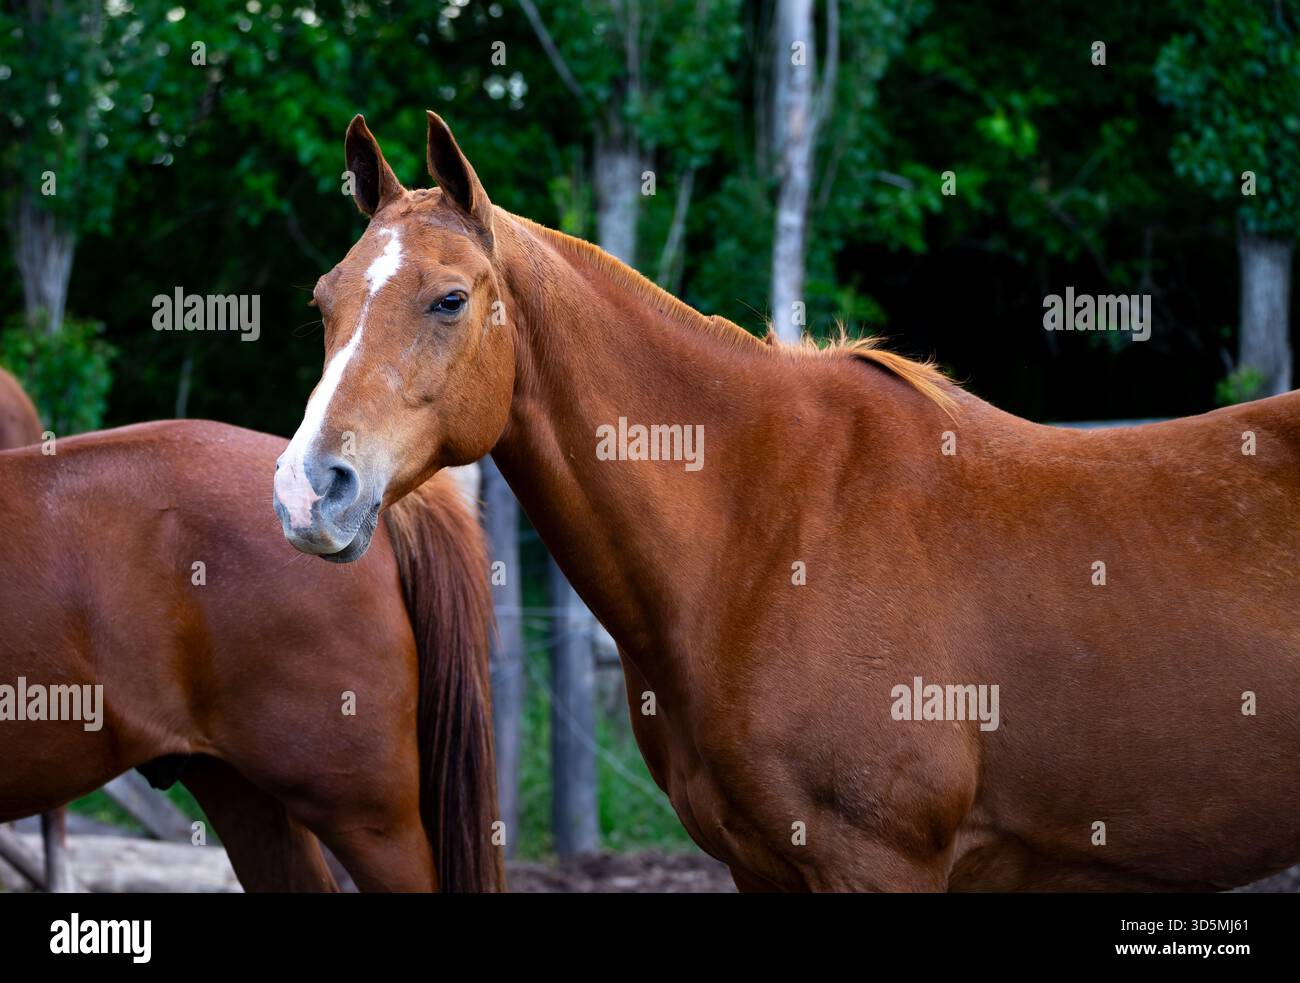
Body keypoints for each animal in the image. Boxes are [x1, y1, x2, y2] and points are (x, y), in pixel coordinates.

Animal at [272, 111, 1300, 892]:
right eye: (323, 301)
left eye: (449, 299)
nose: (307, 489)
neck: (764, 530)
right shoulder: (762, 866)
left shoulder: (880, 863)